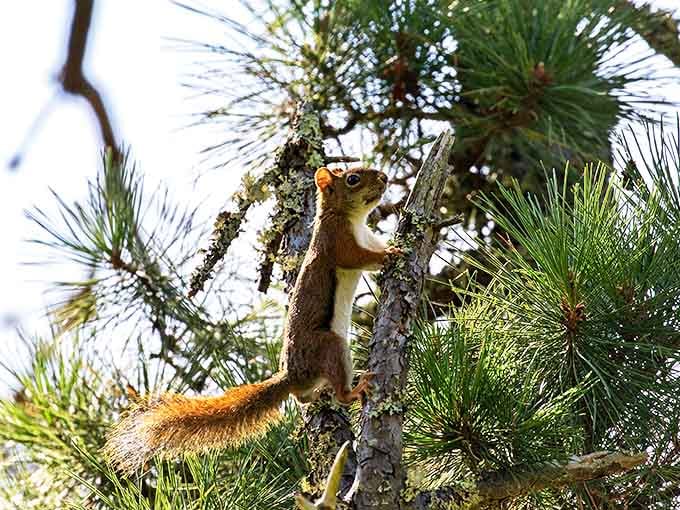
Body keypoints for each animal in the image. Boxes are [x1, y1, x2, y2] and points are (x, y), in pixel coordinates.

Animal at [104, 166, 399, 473]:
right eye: (353, 179)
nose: (384, 178)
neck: (350, 219)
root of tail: (291, 376)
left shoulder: (366, 236)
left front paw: (394, 244)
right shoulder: (338, 242)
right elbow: (359, 257)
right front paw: (392, 254)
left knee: (303, 396)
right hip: (329, 345)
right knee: (337, 390)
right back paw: (355, 389)